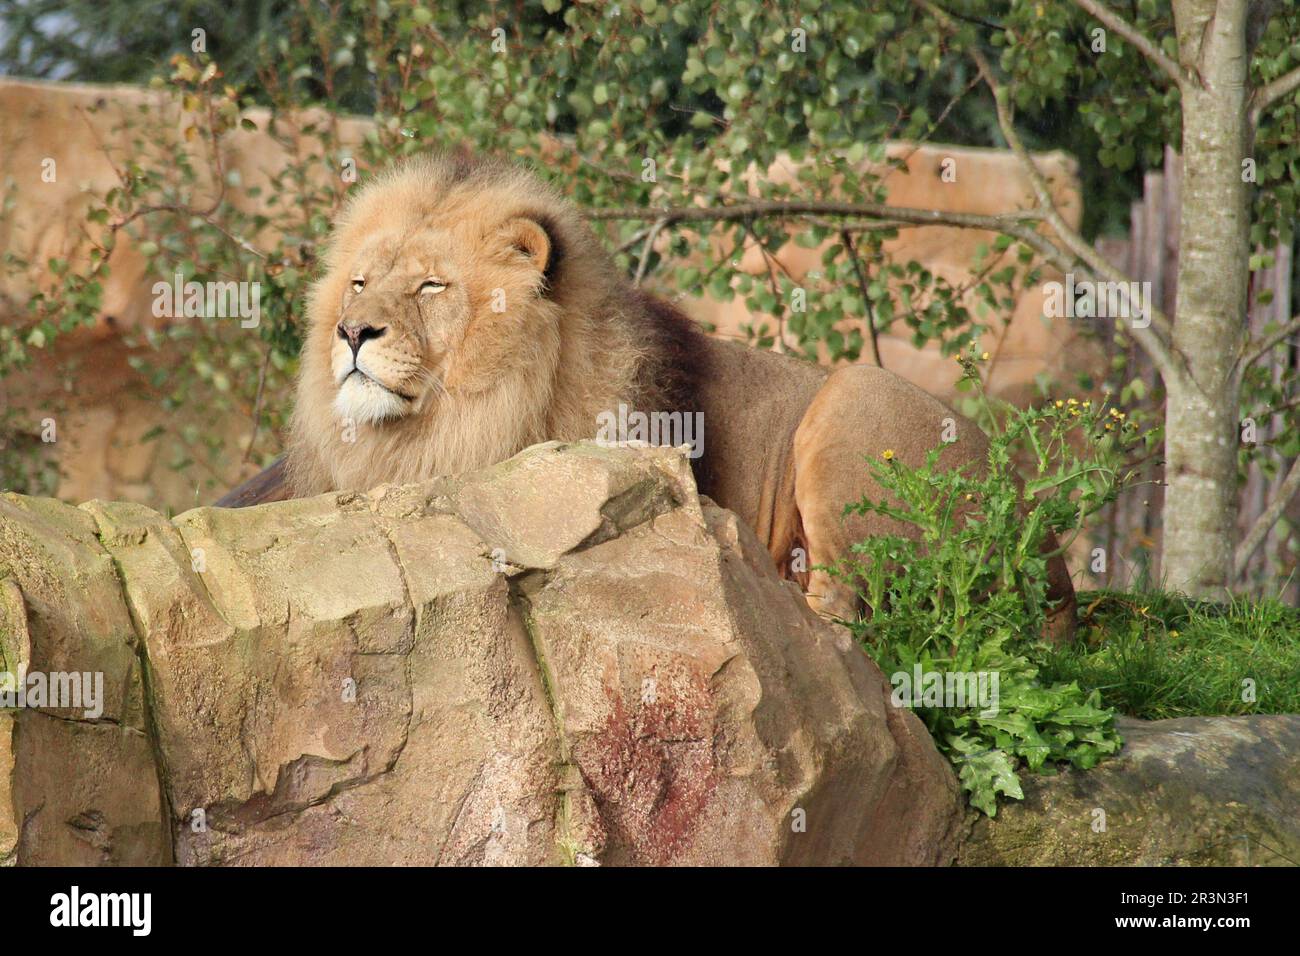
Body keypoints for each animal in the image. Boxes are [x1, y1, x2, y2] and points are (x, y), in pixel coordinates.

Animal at [219, 151, 1076, 633]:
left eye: (431, 286)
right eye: (359, 282)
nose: (351, 333)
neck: (446, 424)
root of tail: (1056, 576)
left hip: (854, 397)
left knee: (853, 615)